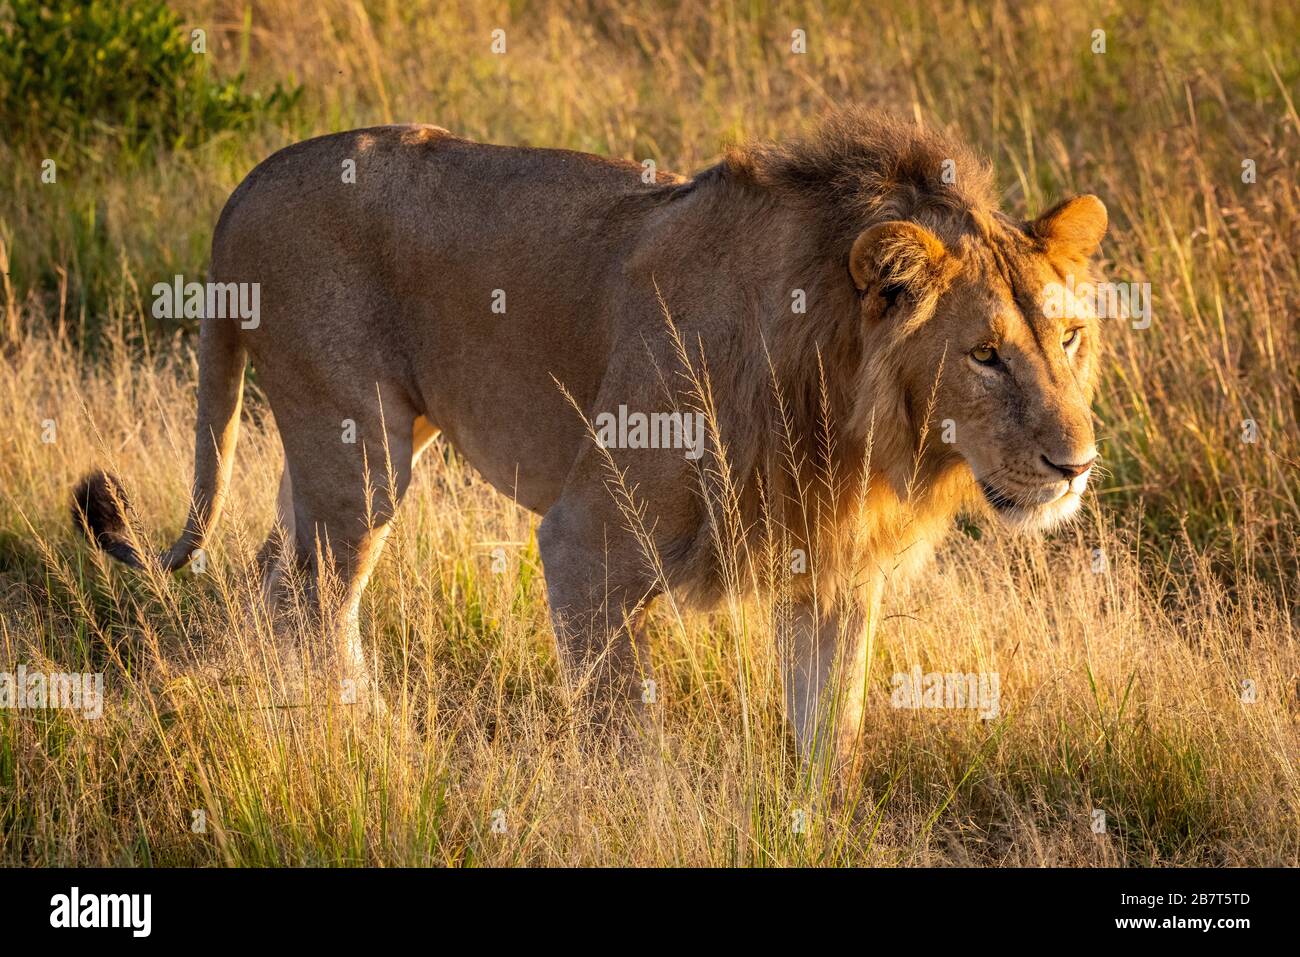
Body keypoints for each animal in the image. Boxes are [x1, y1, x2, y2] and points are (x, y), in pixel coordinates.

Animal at [73, 109, 1106, 764]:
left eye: (1068, 338)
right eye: (984, 355)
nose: (1076, 465)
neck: (847, 402)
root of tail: (247, 185)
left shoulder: (835, 573)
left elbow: (830, 742)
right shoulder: (587, 544)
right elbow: (625, 741)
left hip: (337, 448)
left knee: (273, 579)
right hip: (358, 452)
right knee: (321, 604)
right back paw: (367, 743)